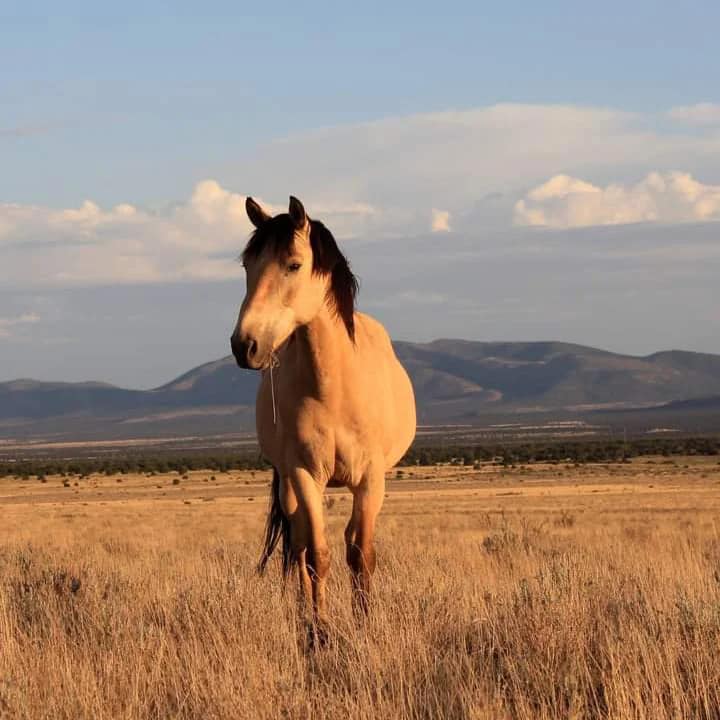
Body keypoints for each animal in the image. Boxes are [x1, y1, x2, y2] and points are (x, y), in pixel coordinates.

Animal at [230, 195, 416, 636]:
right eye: (247, 265)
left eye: (294, 264)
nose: (245, 345)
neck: (333, 388)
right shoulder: (304, 474)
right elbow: (317, 554)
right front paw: (319, 630)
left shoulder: (371, 480)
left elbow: (361, 554)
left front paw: (364, 624)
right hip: (289, 486)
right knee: (298, 545)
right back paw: (303, 614)